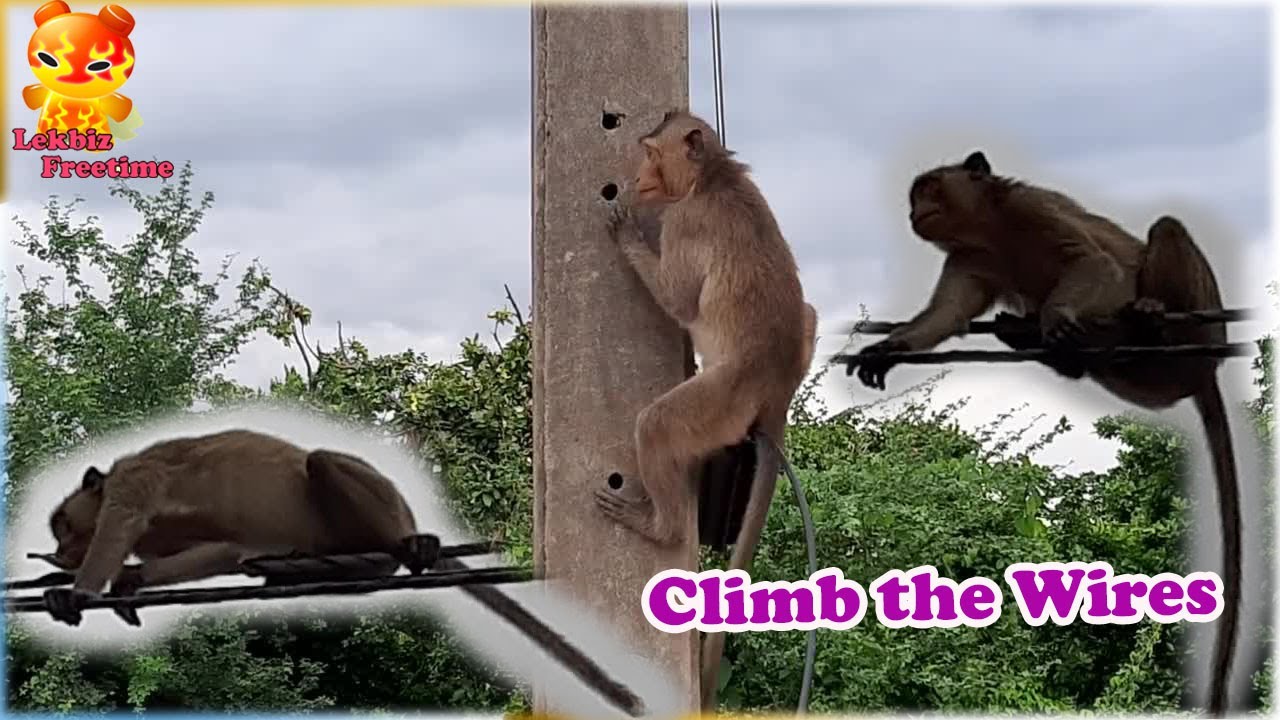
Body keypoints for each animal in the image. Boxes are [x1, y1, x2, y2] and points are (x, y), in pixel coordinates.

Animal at [38, 429, 648, 717]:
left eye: (64, 524)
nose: (62, 553)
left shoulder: (132, 485)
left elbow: (121, 528)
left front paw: (81, 590)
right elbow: (224, 551)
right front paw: (128, 583)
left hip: (374, 506)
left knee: (321, 462)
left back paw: (400, 550)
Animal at [596, 109, 817, 711]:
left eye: (651, 154)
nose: (638, 176)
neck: (711, 177)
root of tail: (775, 395)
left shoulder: (685, 222)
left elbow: (679, 300)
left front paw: (628, 231)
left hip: (720, 403)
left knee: (658, 425)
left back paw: (661, 527)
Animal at [852, 150, 1242, 717]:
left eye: (930, 189)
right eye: (915, 194)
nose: (913, 210)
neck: (992, 228)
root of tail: (1199, 372)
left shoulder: (1032, 209)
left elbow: (1097, 265)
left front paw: (1057, 315)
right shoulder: (971, 257)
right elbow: (944, 317)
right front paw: (889, 349)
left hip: (1196, 323)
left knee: (1163, 232)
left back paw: (1145, 318)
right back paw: (1049, 344)